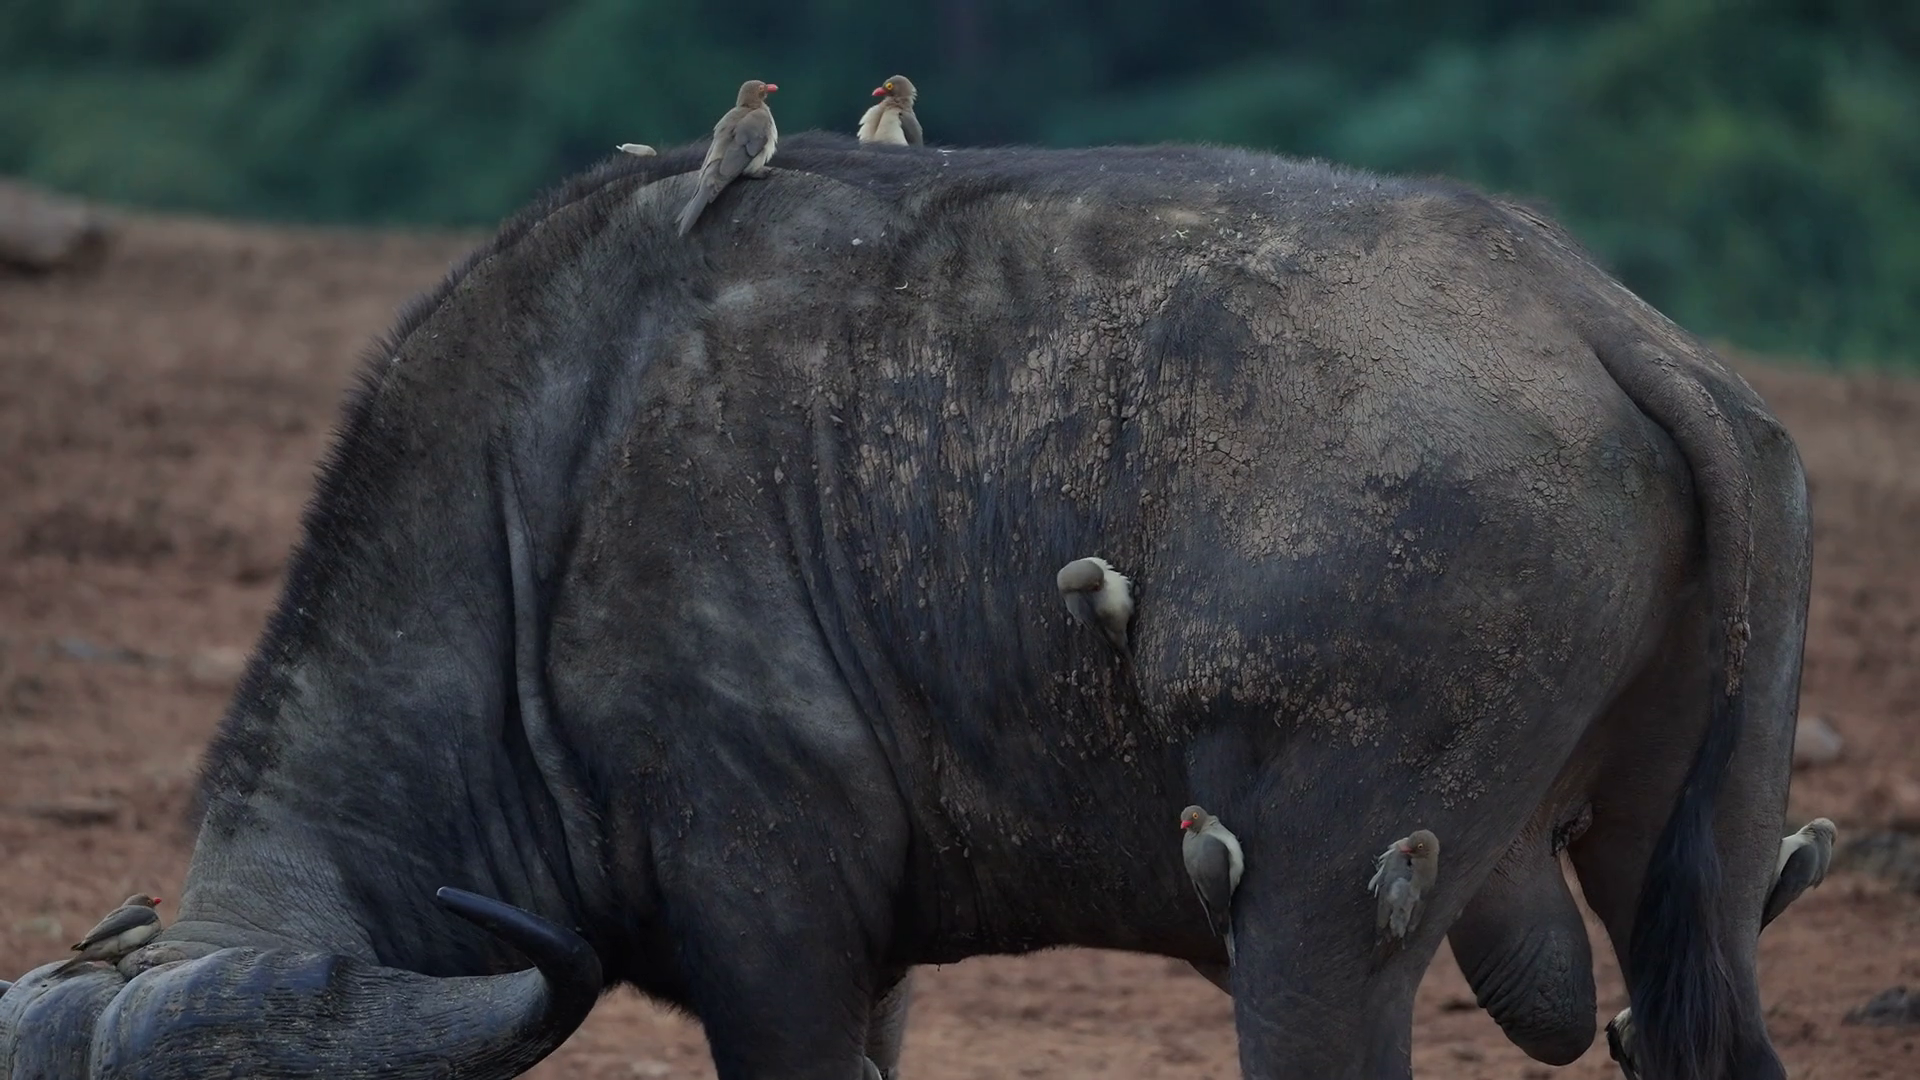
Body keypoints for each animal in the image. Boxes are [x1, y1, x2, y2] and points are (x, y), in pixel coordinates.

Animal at [0, 133, 1810, 1080]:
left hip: (1319, 913)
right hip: (1695, 878)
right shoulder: (869, 959)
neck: (530, 521)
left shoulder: (775, 933)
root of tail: (1589, 313)